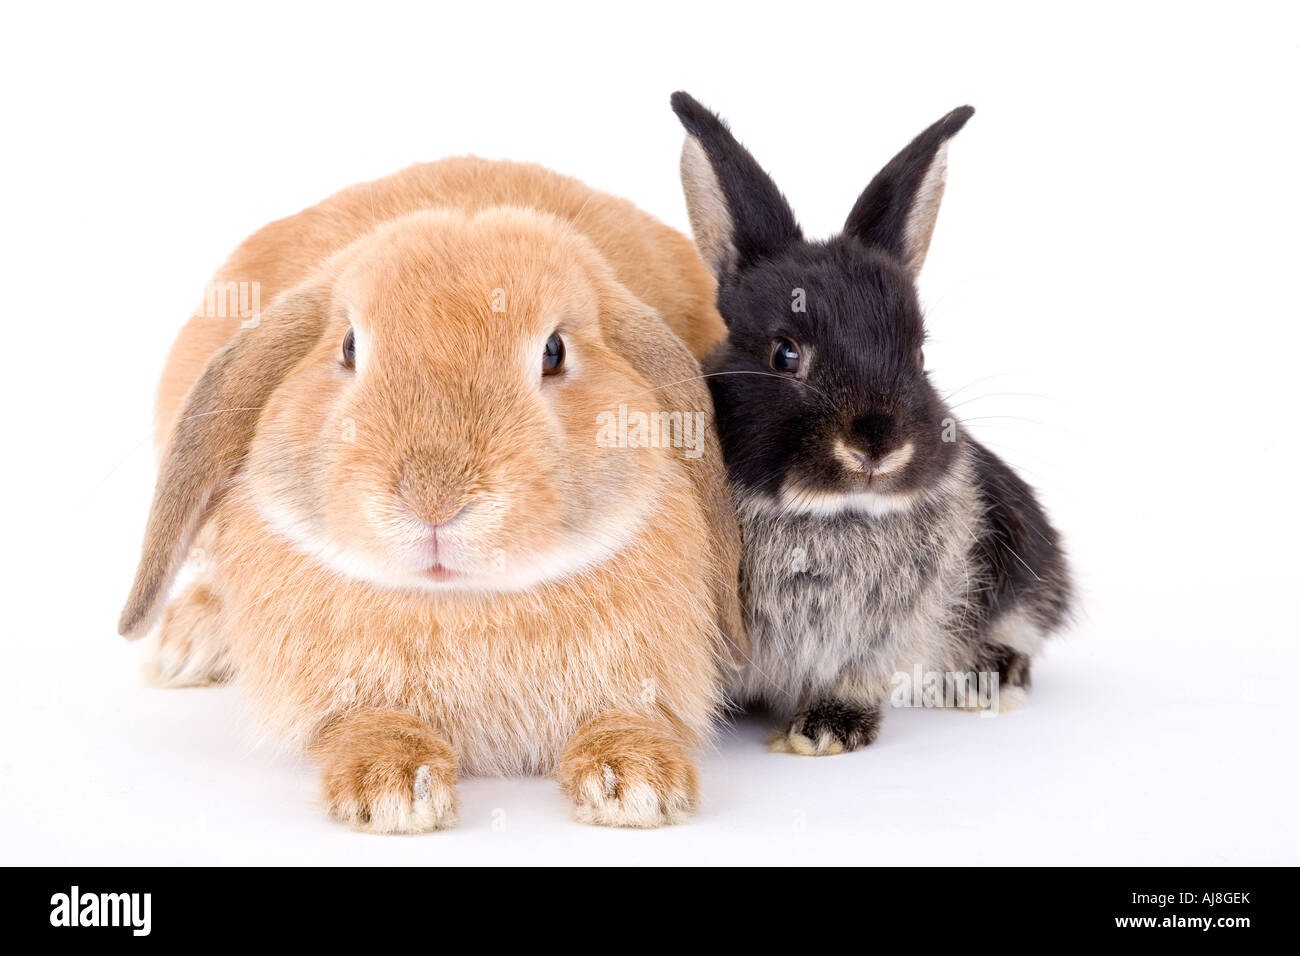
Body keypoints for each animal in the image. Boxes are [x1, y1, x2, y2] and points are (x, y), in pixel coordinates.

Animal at [119, 156, 746, 830]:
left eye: (554, 351)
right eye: (348, 347)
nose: (433, 500)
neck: (463, 601)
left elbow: (631, 716)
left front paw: (638, 783)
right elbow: (361, 723)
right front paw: (390, 788)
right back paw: (190, 643)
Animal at [669, 92, 1073, 755]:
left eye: (920, 355)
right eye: (784, 354)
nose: (877, 445)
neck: (830, 517)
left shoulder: (886, 635)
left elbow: (859, 677)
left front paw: (827, 731)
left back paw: (992, 679)